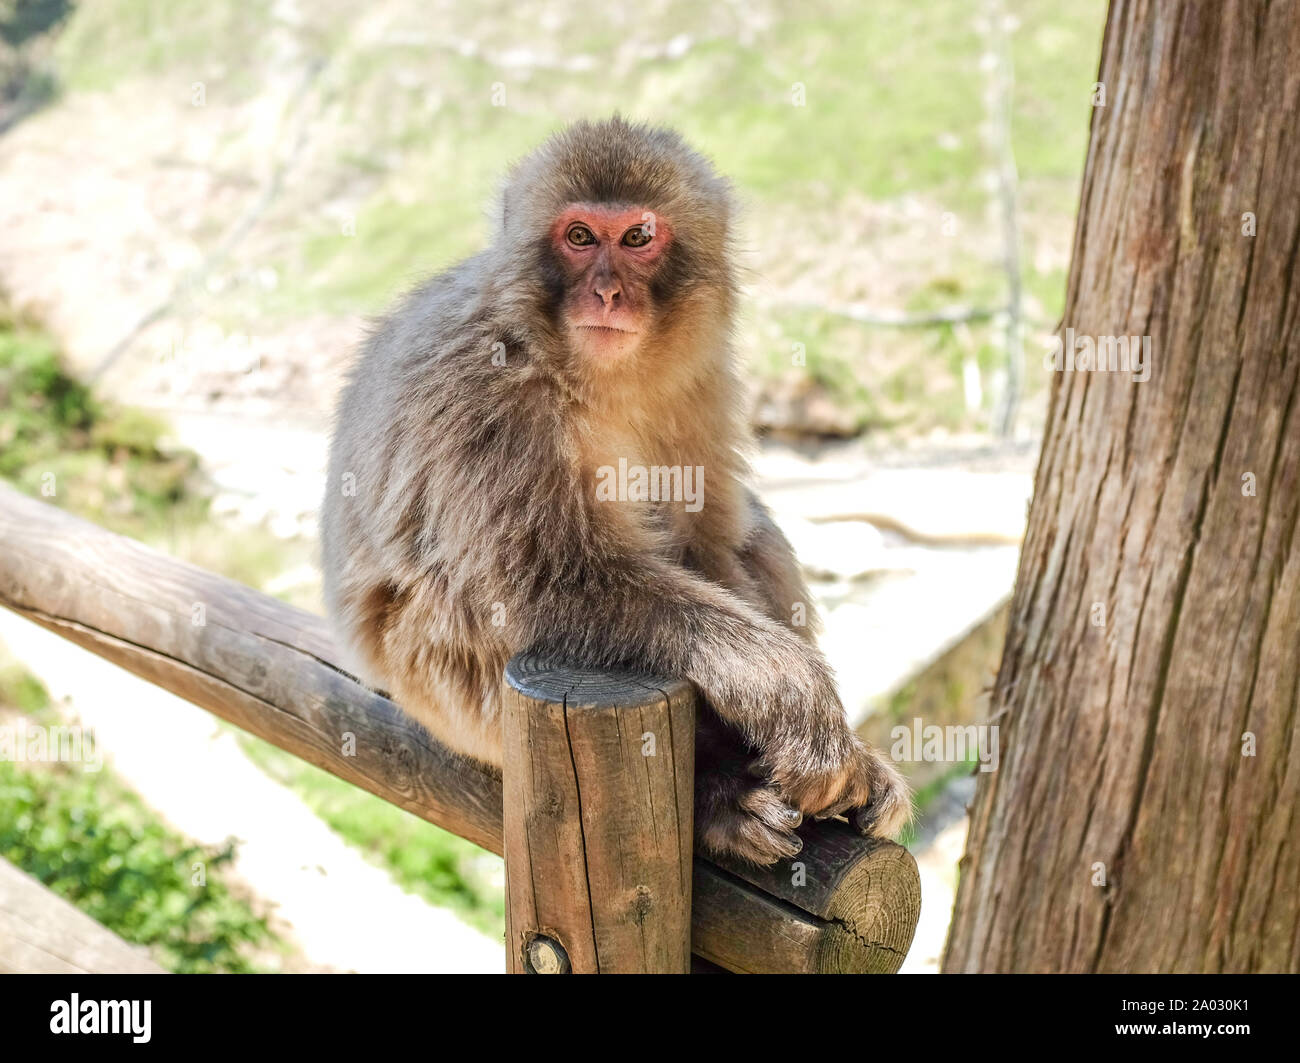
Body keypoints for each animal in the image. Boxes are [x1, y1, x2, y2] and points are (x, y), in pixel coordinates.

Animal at [320, 117, 910, 866]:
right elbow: (550, 584)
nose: (605, 292)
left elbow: (709, 542)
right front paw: (785, 694)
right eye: (579, 237)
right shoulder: (482, 387)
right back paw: (717, 795)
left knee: (755, 532)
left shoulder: (699, 380)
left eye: (635, 238)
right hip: (445, 694)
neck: (590, 372)